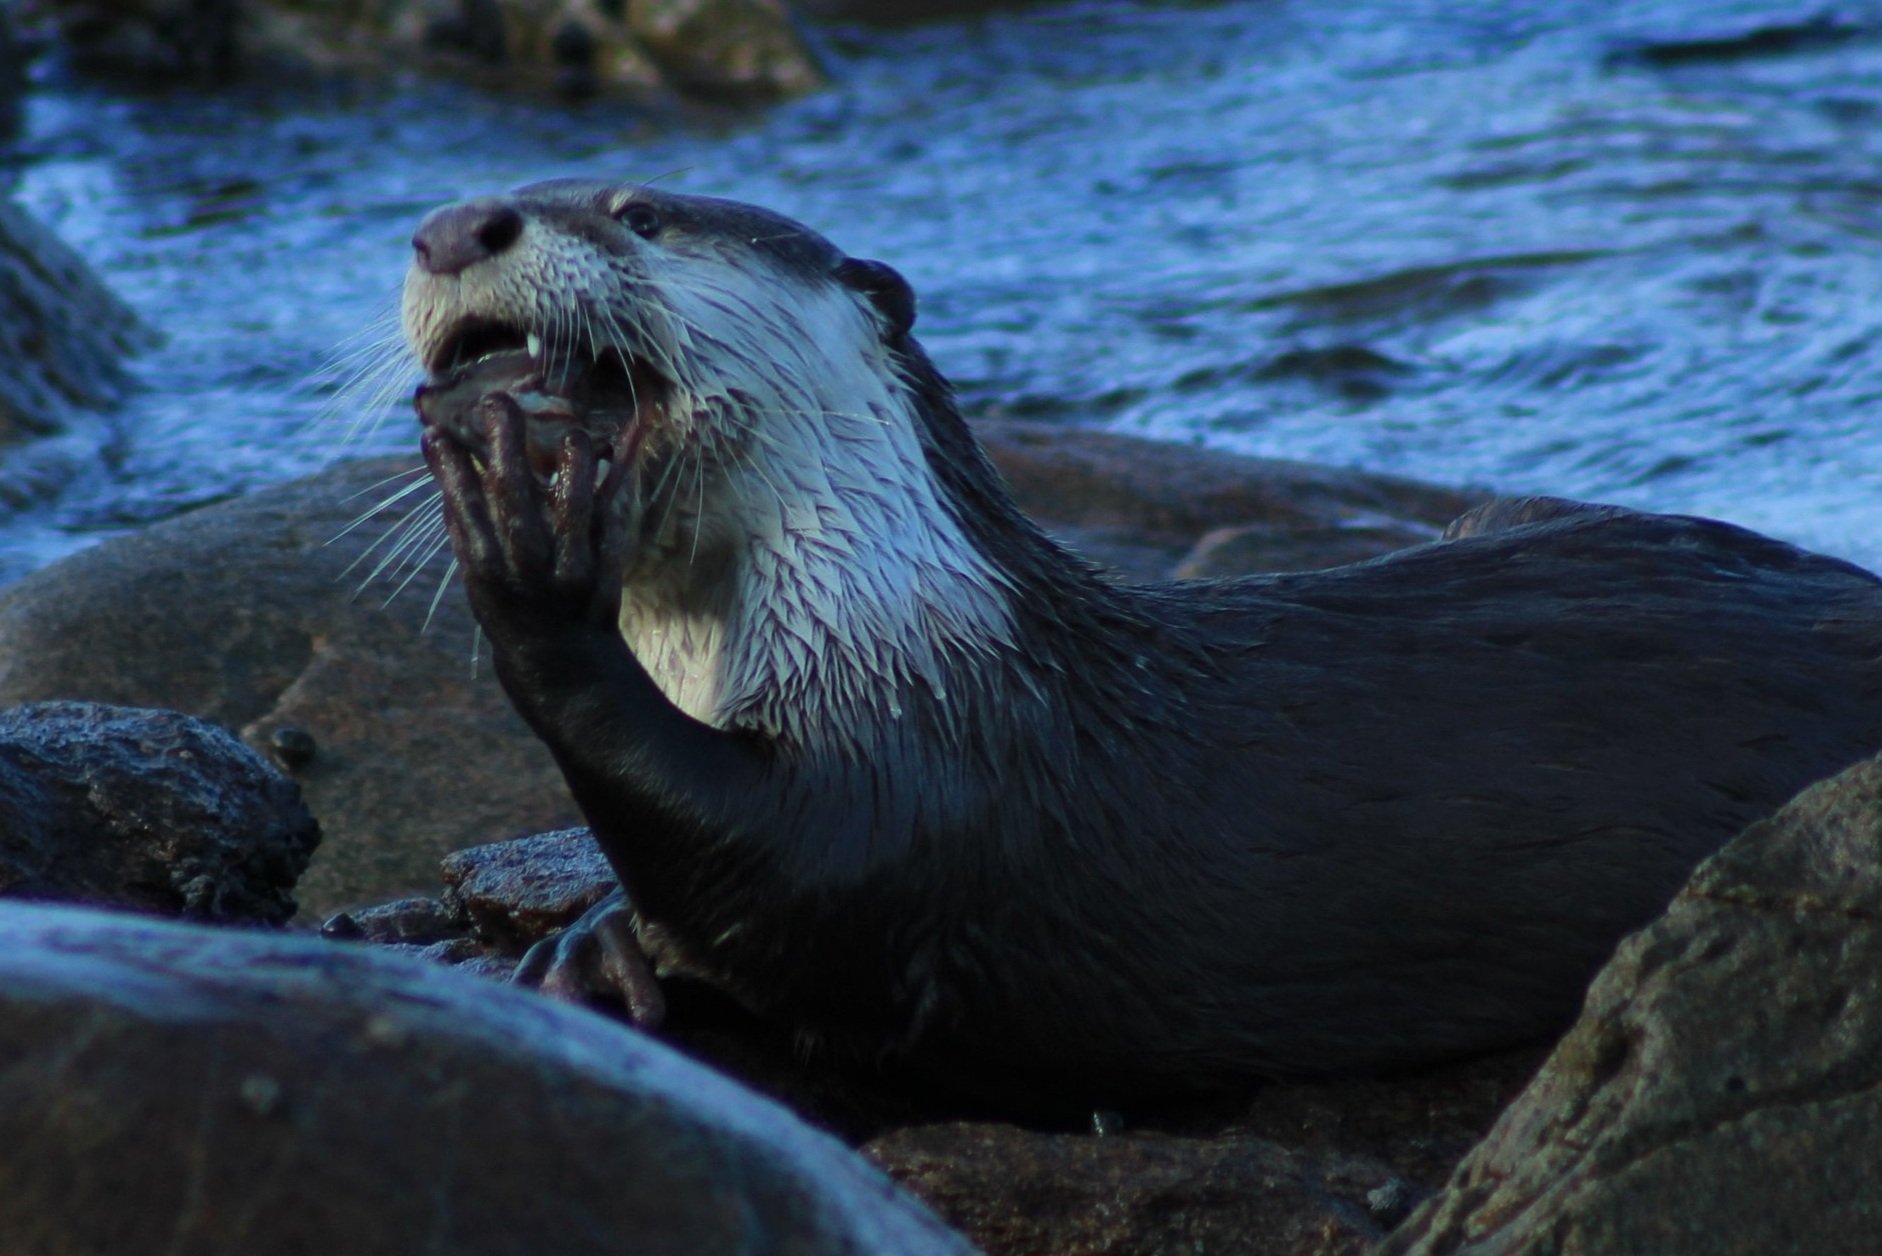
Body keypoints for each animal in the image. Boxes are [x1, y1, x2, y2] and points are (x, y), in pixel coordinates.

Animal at [404, 179, 1882, 1109]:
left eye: (641, 215)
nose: (450, 226)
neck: (885, 629)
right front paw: (595, 947)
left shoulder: (928, 780)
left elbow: (761, 850)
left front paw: (529, 561)